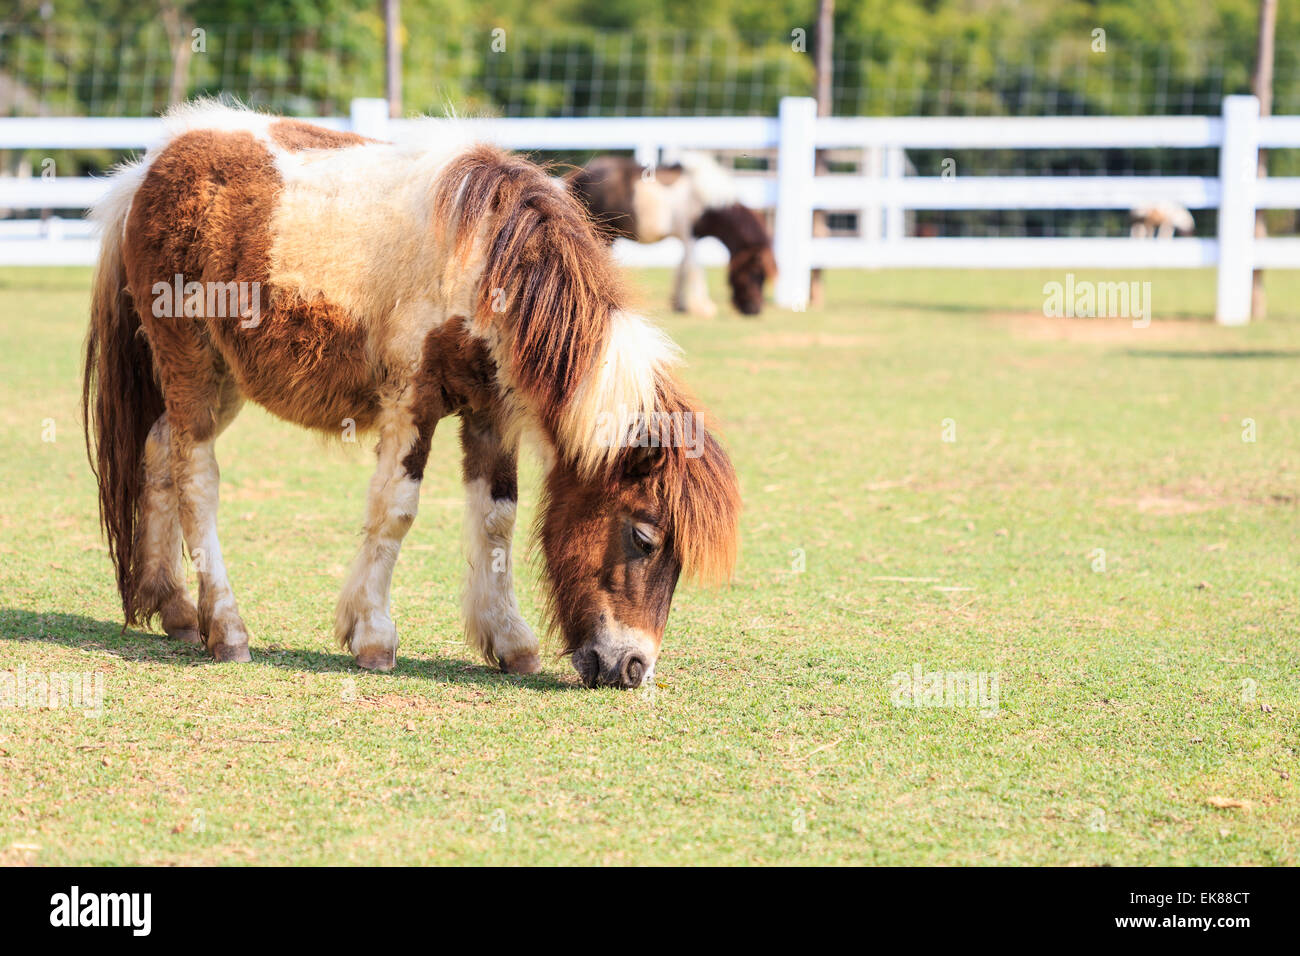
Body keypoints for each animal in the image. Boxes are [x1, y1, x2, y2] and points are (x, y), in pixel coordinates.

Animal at [82, 102, 741, 689]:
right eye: (643, 537)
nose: (633, 669)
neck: (489, 264)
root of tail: (149, 169)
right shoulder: (412, 403)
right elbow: (396, 510)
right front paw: (372, 636)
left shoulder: (492, 414)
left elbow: (496, 518)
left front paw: (509, 640)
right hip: (190, 364)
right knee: (197, 483)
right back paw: (226, 628)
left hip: (221, 380)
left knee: (159, 455)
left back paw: (174, 608)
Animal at [566, 154, 777, 317]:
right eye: (756, 273)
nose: (755, 310)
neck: (707, 202)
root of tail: (578, 174)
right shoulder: (688, 236)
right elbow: (695, 269)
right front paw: (703, 308)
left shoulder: (689, 239)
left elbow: (682, 268)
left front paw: (680, 304)